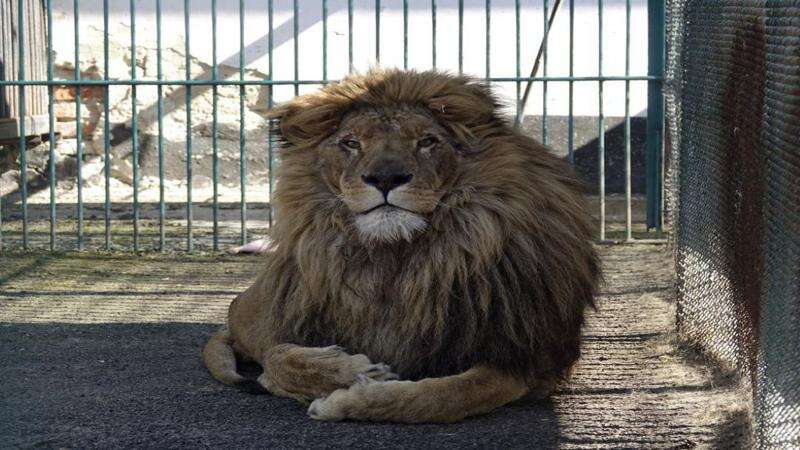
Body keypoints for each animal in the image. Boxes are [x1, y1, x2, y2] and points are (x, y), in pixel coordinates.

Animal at [203, 69, 601, 423]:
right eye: (351, 143)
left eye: (427, 141)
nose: (385, 178)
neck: (398, 256)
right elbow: (279, 359)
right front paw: (354, 373)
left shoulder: (523, 360)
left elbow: (440, 397)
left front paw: (347, 401)